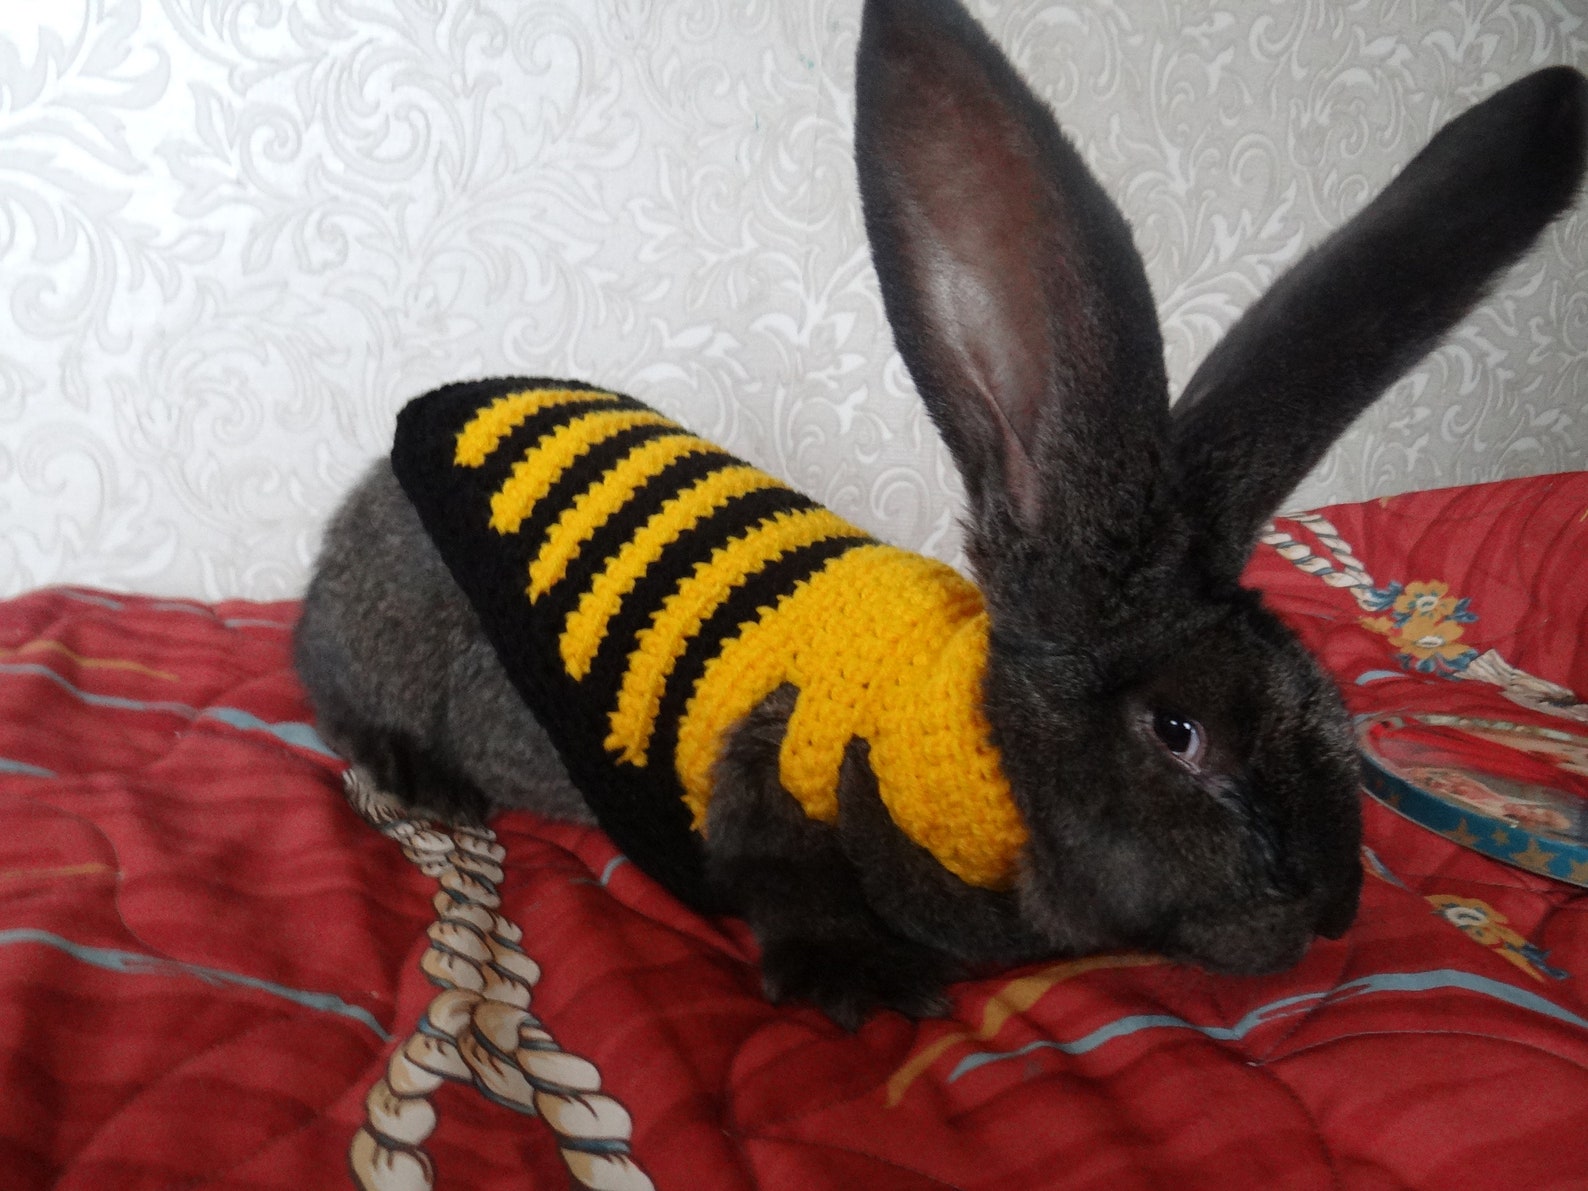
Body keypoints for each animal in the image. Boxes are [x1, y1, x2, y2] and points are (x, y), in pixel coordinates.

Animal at [295, 0, 1588, 1030]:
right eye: (1177, 732)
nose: (1331, 911)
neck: (971, 749)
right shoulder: (767, 765)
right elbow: (778, 874)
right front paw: (863, 984)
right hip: (382, 632)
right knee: (331, 694)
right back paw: (420, 775)